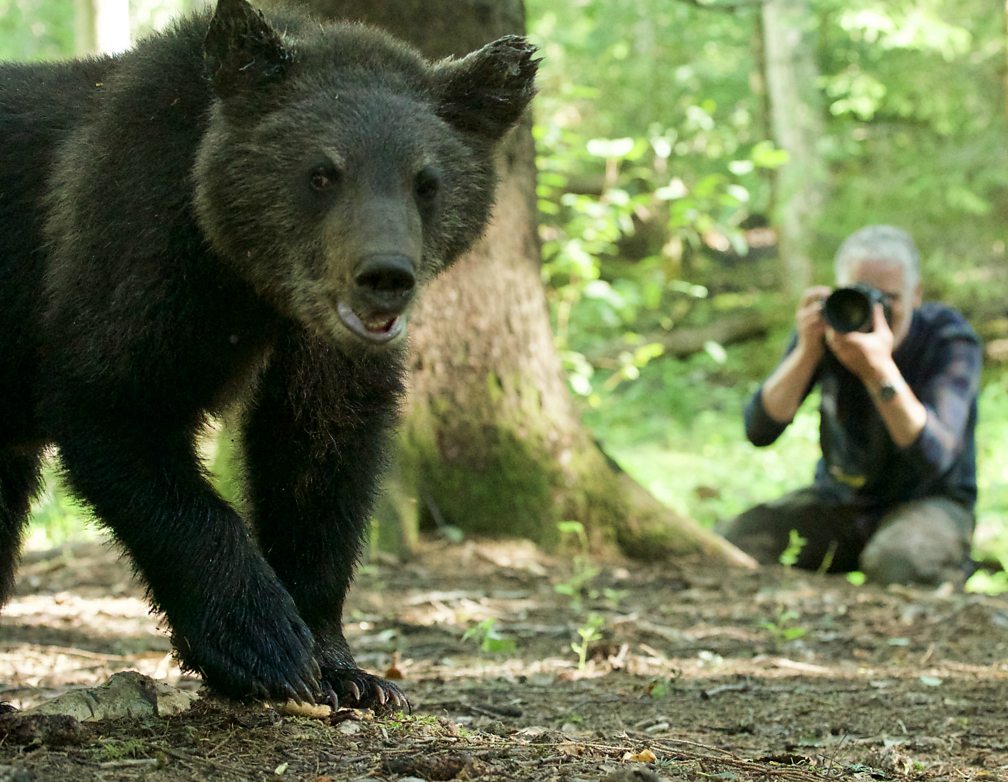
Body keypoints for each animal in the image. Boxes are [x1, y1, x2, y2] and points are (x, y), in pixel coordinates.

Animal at [0, 0, 537, 709]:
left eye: (427, 182)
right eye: (322, 172)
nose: (384, 275)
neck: (248, 281)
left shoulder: (316, 347)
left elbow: (318, 459)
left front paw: (348, 671)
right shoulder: (130, 255)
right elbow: (121, 415)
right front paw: (264, 645)